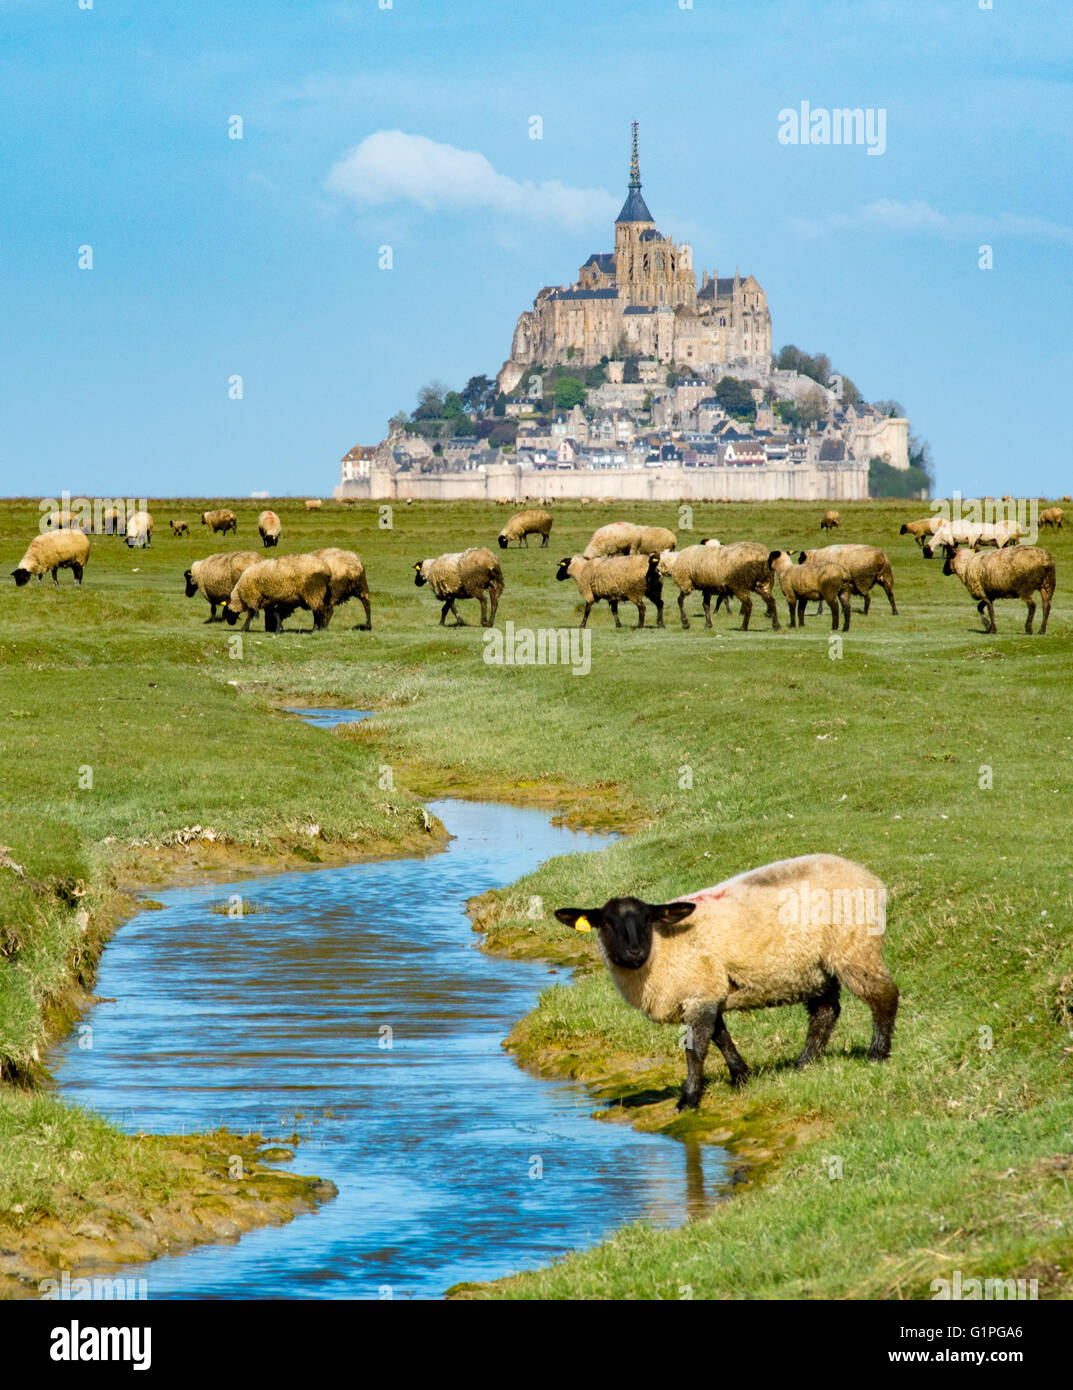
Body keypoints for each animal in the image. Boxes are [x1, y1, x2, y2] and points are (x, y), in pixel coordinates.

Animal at [554, 852, 897, 1109]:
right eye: (607, 924)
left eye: (647, 919)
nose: (634, 952)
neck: (662, 949)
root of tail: (871, 878)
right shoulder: (708, 990)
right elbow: (721, 1037)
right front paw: (740, 1077)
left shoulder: (699, 993)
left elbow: (696, 1050)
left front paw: (689, 1099)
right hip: (813, 969)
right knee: (826, 1012)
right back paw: (803, 1065)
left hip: (855, 946)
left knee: (884, 994)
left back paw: (877, 1055)